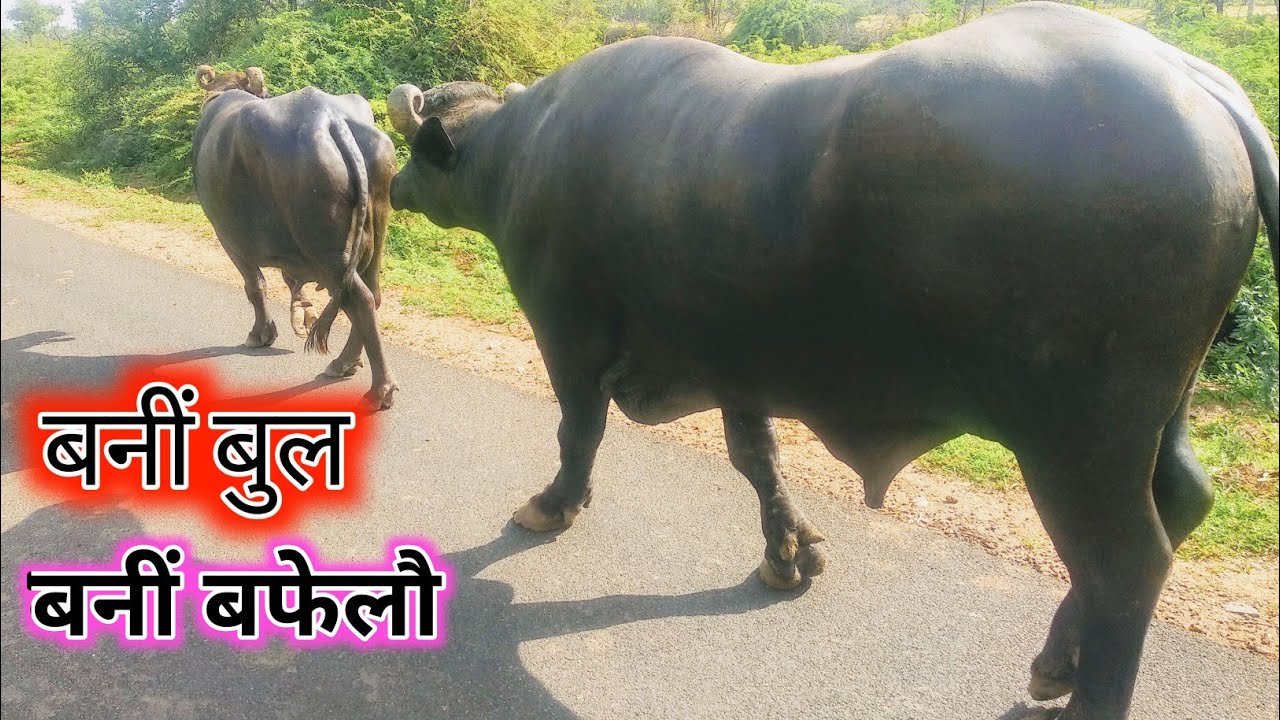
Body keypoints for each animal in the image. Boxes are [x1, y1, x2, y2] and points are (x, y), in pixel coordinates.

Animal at [194, 66, 399, 409]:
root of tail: (331, 119)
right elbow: (291, 283)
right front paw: (303, 313)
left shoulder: (229, 237)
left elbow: (255, 286)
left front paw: (261, 334)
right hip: (374, 234)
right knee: (371, 293)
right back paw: (345, 363)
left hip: (326, 249)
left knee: (358, 298)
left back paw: (379, 388)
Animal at [385, 3, 1278, 718]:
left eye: (423, 151)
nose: (393, 183)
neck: (524, 152)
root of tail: (1194, 78)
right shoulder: (735, 361)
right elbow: (757, 458)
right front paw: (790, 555)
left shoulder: (566, 333)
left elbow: (579, 431)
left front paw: (553, 505)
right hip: (1162, 411)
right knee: (1181, 501)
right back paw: (1056, 664)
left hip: (1078, 439)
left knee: (1124, 565)